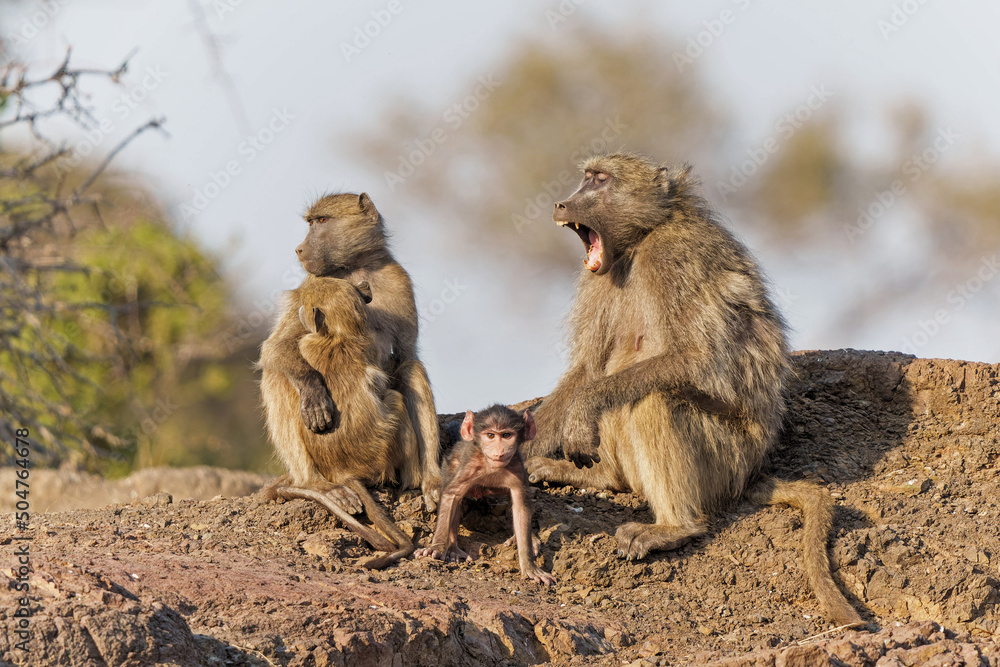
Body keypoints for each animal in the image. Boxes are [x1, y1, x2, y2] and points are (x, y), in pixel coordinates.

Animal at [258, 192, 442, 510]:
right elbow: (276, 347)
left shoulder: (398, 280)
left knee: (411, 369)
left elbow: (406, 357)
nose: (299, 249)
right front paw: (314, 394)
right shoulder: (313, 286)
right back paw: (316, 485)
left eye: (321, 221)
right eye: (311, 222)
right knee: (276, 374)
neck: (355, 268)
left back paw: (429, 480)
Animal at [416, 405, 555, 586]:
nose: (499, 452)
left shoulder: (517, 468)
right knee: (457, 499)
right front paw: (436, 548)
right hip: (449, 466)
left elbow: (520, 507)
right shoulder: (470, 467)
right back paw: (453, 548)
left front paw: (529, 564)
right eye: (490, 435)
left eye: (506, 435)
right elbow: (450, 495)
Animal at [523, 153, 862, 626]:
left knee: (650, 400)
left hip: (726, 456)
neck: (642, 240)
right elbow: (587, 370)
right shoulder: (599, 279)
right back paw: (603, 477)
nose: (561, 203)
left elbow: (693, 358)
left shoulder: (675, 258)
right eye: (585, 178)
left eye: (600, 180)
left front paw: (582, 412)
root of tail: (751, 472)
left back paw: (673, 527)